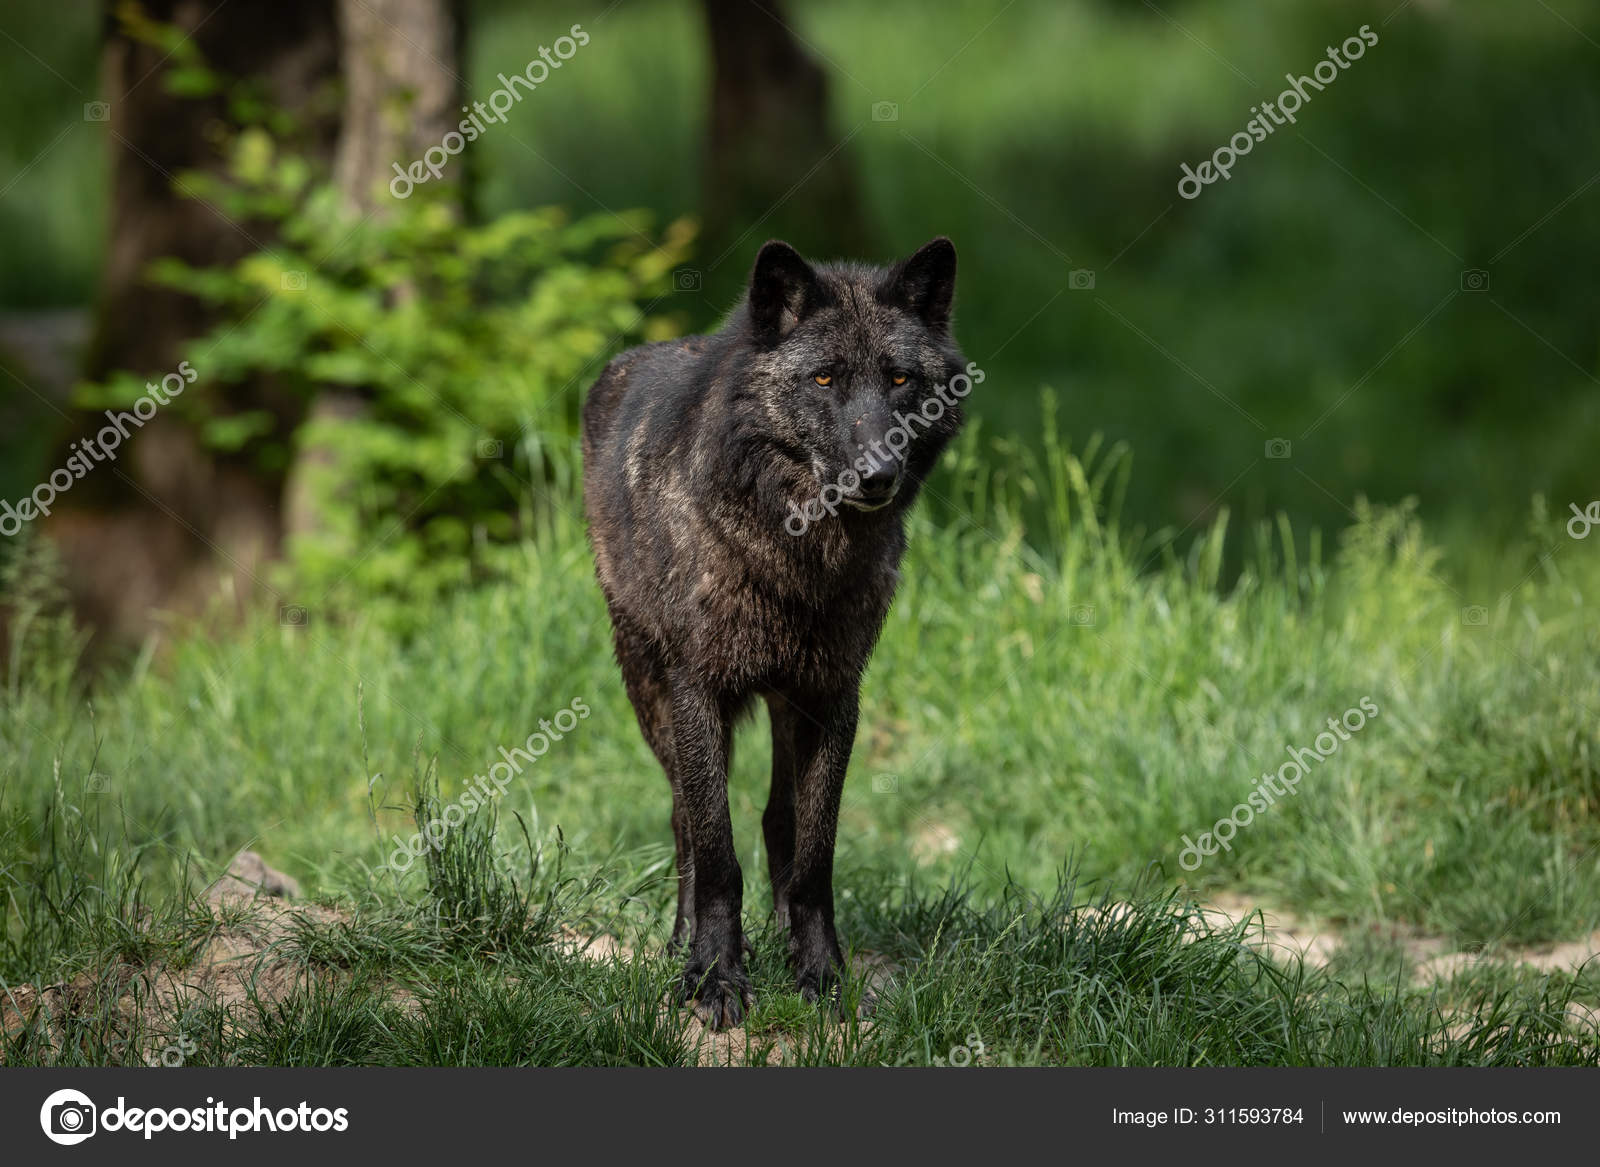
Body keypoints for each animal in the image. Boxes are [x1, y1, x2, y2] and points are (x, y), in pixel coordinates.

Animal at [581, 236, 970, 1027]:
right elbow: (716, 853)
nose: (879, 474)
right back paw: (682, 943)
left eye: (900, 378)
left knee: (776, 823)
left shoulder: (833, 698)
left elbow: (813, 856)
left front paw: (820, 973)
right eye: (823, 378)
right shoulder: (698, 690)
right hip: (649, 694)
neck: (797, 555)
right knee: (685, 822)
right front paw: (714, 977)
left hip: (786, 709)